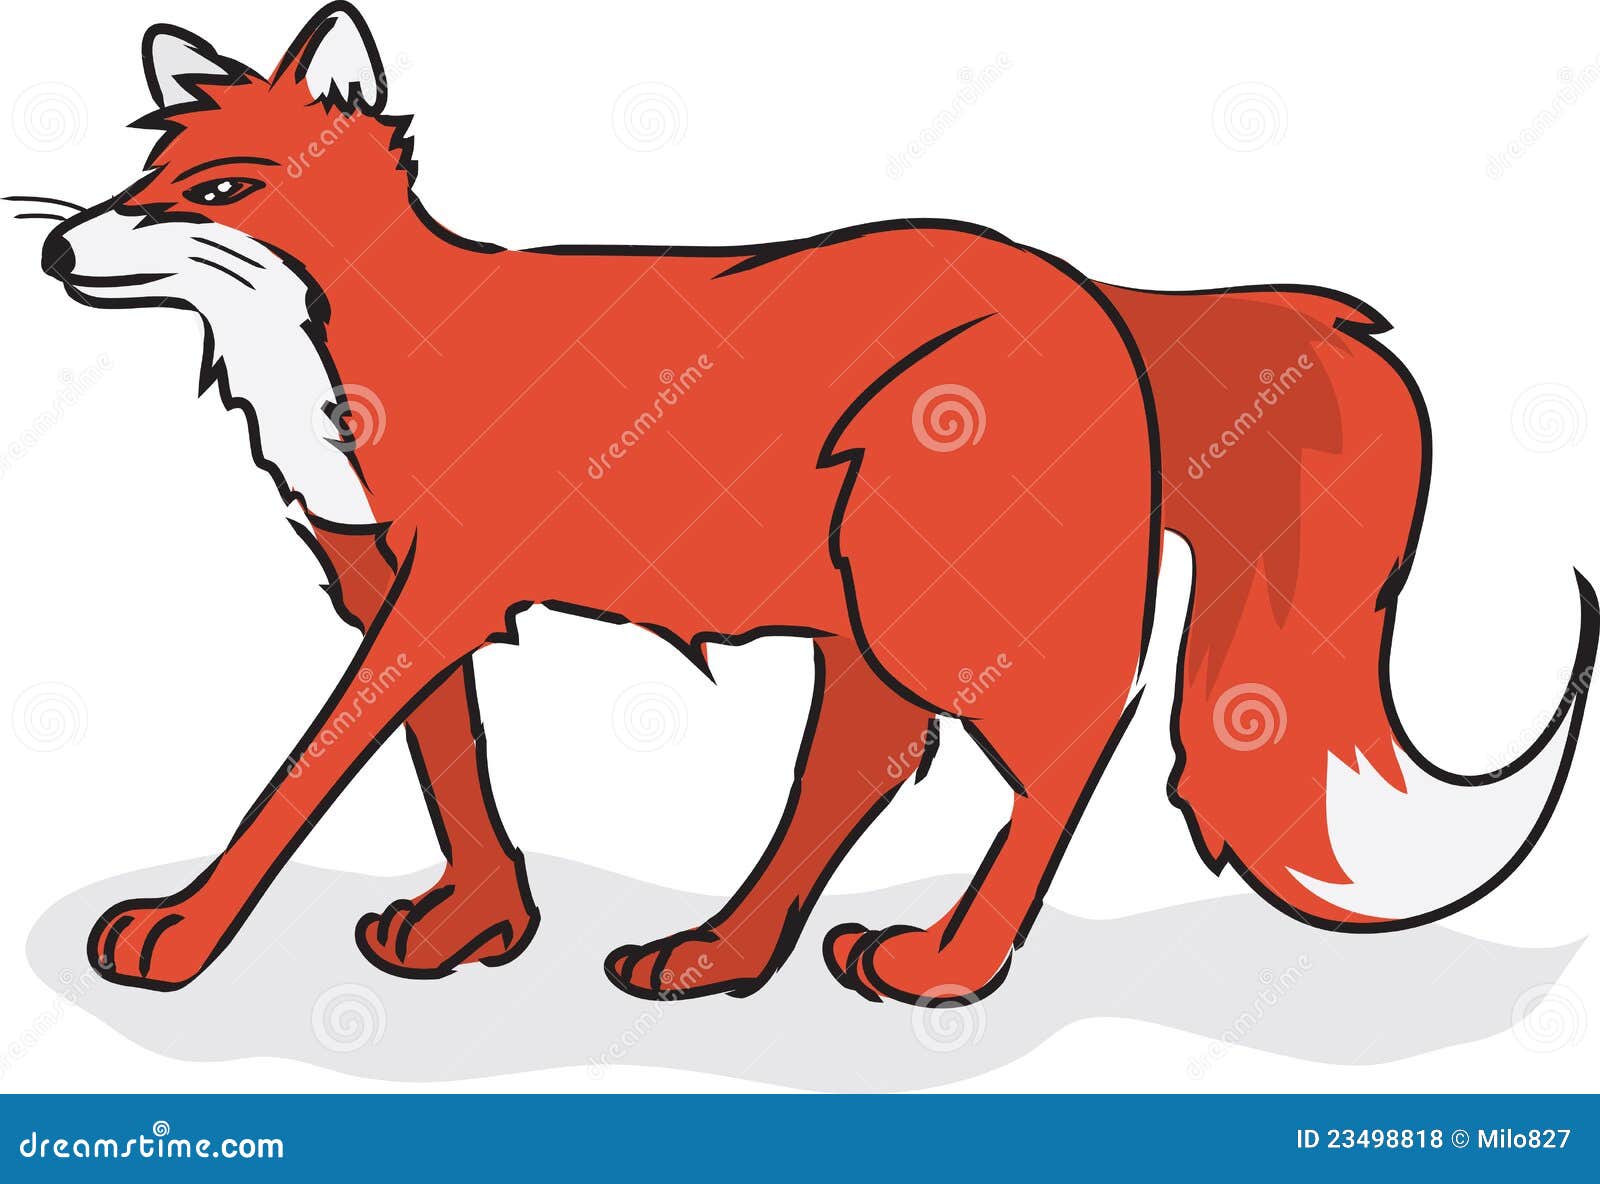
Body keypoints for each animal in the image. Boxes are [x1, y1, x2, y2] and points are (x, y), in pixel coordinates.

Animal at [15, 3, 1595, 1004]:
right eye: (139, 175)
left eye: (218, 189)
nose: (56, 251)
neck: (375, 348)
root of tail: (1096, 289)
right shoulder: (397, 581)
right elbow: (444, 759)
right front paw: (483, 924)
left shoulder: (450, 579)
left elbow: (305, 766)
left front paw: (186, 933)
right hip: (866, 609)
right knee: (859, 766)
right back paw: (724, 955)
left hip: (927, 593)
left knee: (1074, 740)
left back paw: (951, 967)